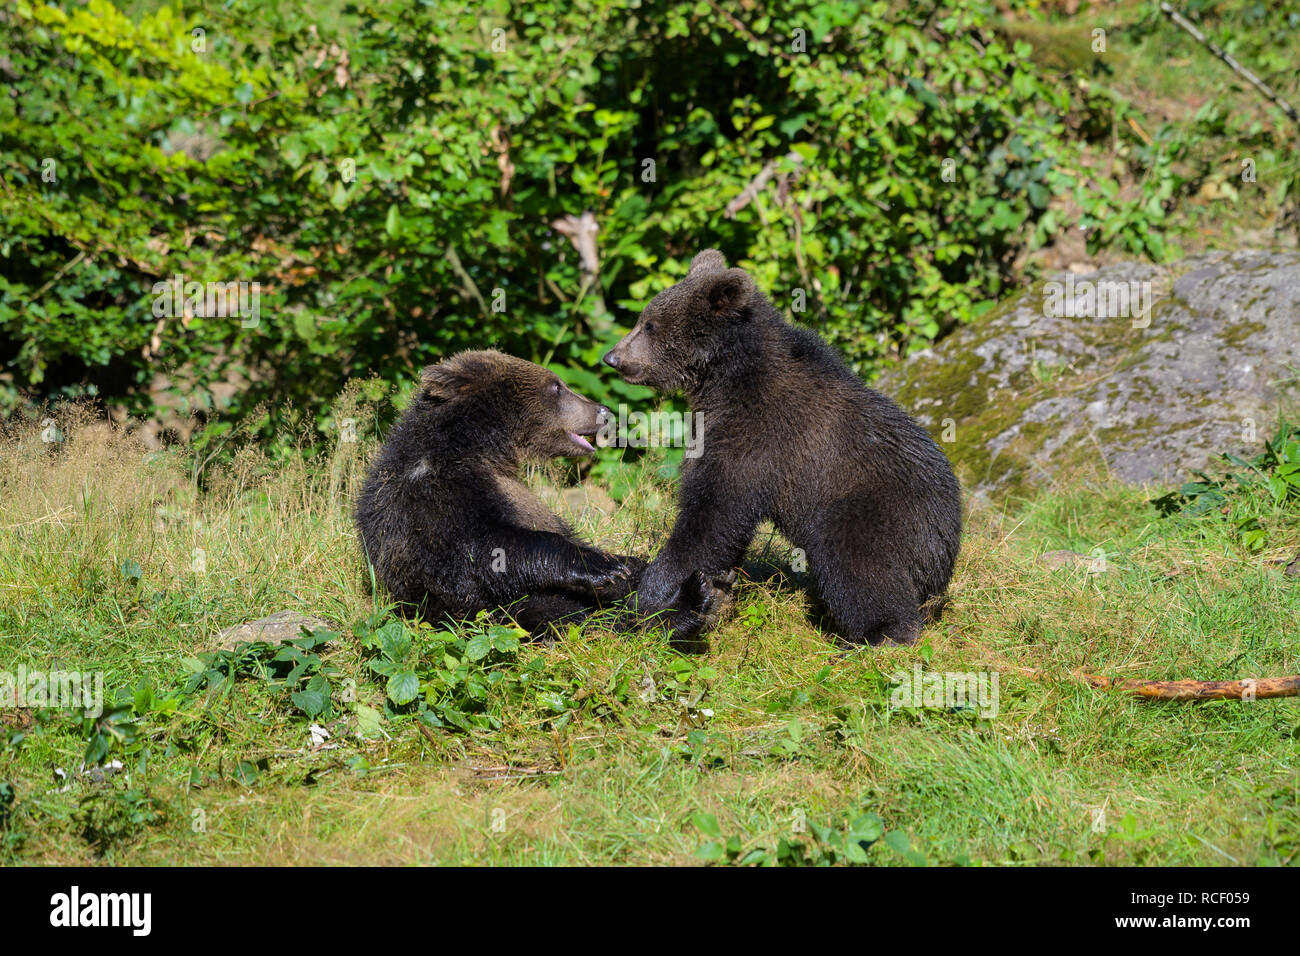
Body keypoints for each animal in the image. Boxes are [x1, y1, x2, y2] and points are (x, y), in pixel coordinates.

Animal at [354, 349, 728, 640]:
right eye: (557, 386)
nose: (605, 411)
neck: (476, 448)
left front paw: (625, 564)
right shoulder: (433, 498)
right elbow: (486, 548)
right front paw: (604, 568)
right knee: (578, 619)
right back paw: (690, 604)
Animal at [603, 250, 962, 645]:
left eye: (649, 325)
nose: (613, 357)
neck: (724, 378)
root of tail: (945, 551)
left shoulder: (757, 438)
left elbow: (712, 516)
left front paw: (656, 595)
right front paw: (707, 592)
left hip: (881, 510)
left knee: (857, 562)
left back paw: (881, 634)